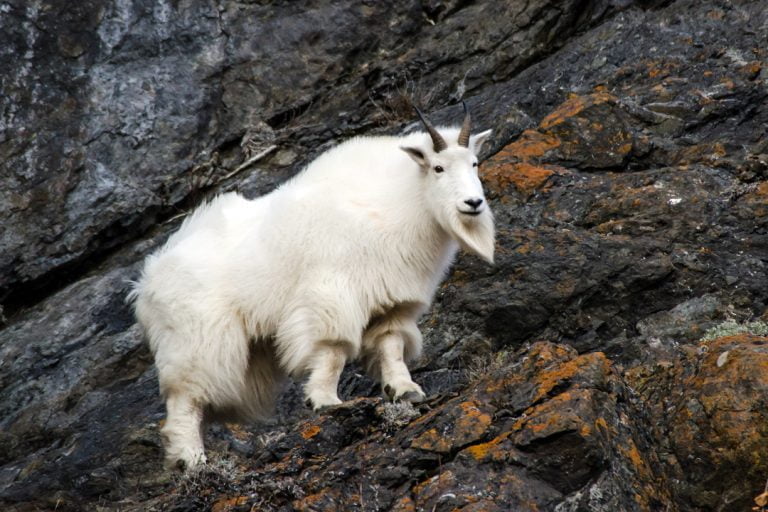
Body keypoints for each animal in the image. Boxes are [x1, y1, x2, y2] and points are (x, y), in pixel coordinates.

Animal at [131, 104, 494, 469]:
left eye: (474, 163)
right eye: (438, 167)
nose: (473, 203)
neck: (399, 202)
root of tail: (146, 284)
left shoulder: (392, 301)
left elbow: (391, 345)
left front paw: (405, 389)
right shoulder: (331, 293)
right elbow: (333, 350)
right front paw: (325, 400)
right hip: (195, 340)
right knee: (187, 397)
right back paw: (191, 459)